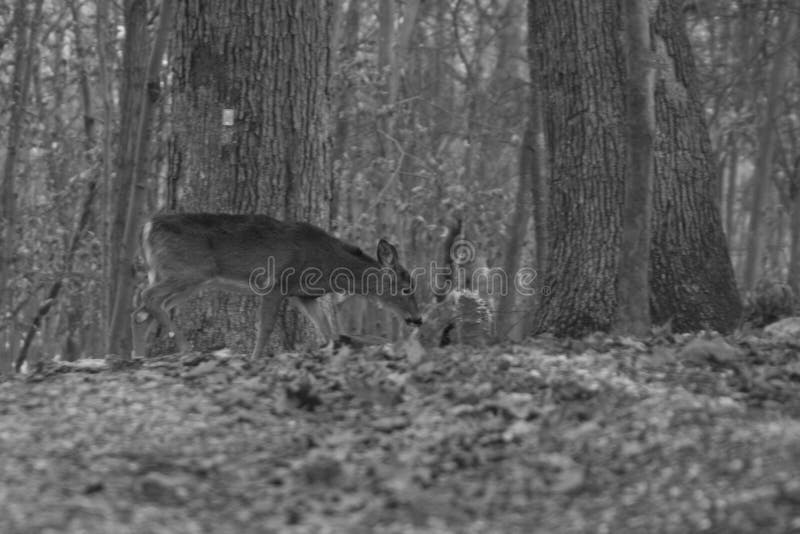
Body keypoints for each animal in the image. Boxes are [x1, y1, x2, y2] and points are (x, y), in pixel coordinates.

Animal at [131, 213, 423, 359]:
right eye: (406, 288)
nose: (417, 319)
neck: (326, 264)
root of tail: (145, 227)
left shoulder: (305, 295)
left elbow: (329, 332)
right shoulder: (276, 283)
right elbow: (266, 327)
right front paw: (255, 359)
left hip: (187, 279)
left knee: (144, 309)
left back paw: (140, 355)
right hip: (187, 271)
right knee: (147, 296)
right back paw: (182, 347)